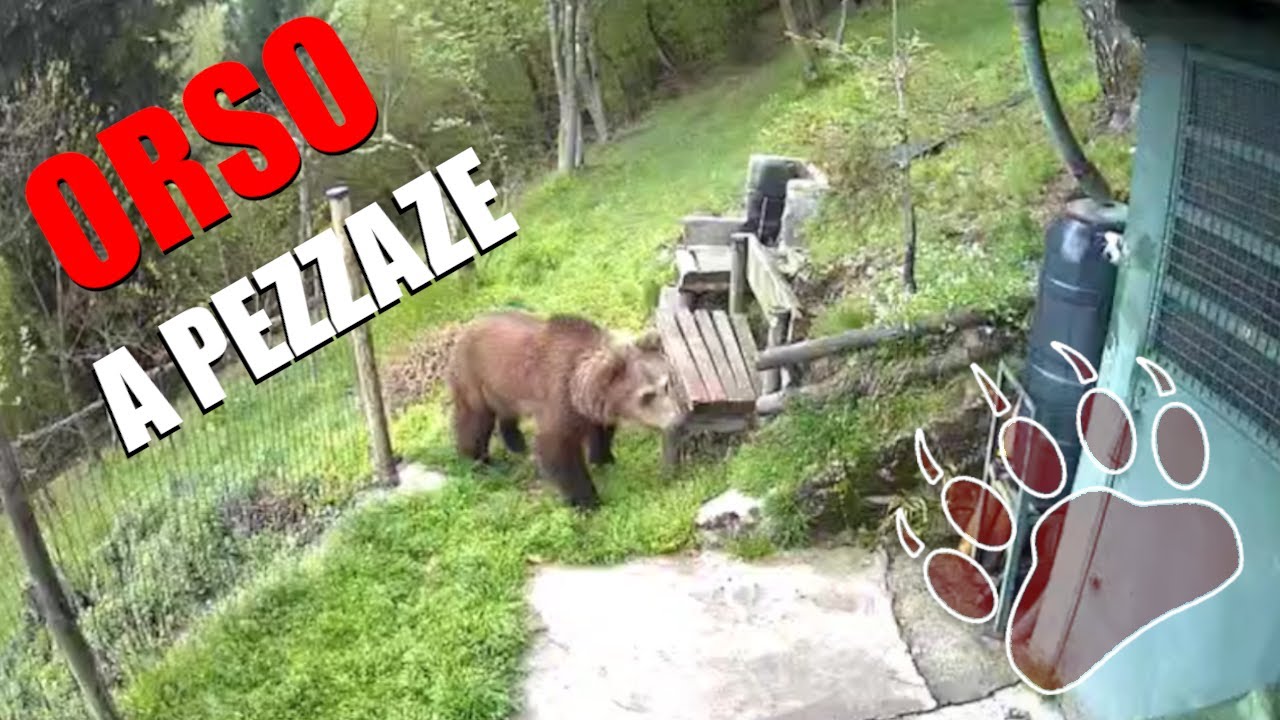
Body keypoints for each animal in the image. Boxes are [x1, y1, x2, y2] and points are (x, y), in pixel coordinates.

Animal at [446, 310, 685, 509]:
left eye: (666, 384)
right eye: (647, 395)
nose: (677, 420)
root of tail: (467, 327)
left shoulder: (590, 407)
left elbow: (600, 431)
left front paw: (604, 459)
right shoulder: (558, 398)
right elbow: (557, 449)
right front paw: (588, 500)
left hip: (504, 386)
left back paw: (516, 442)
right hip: (475, 378)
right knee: (474, 418)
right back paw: (478, 460)